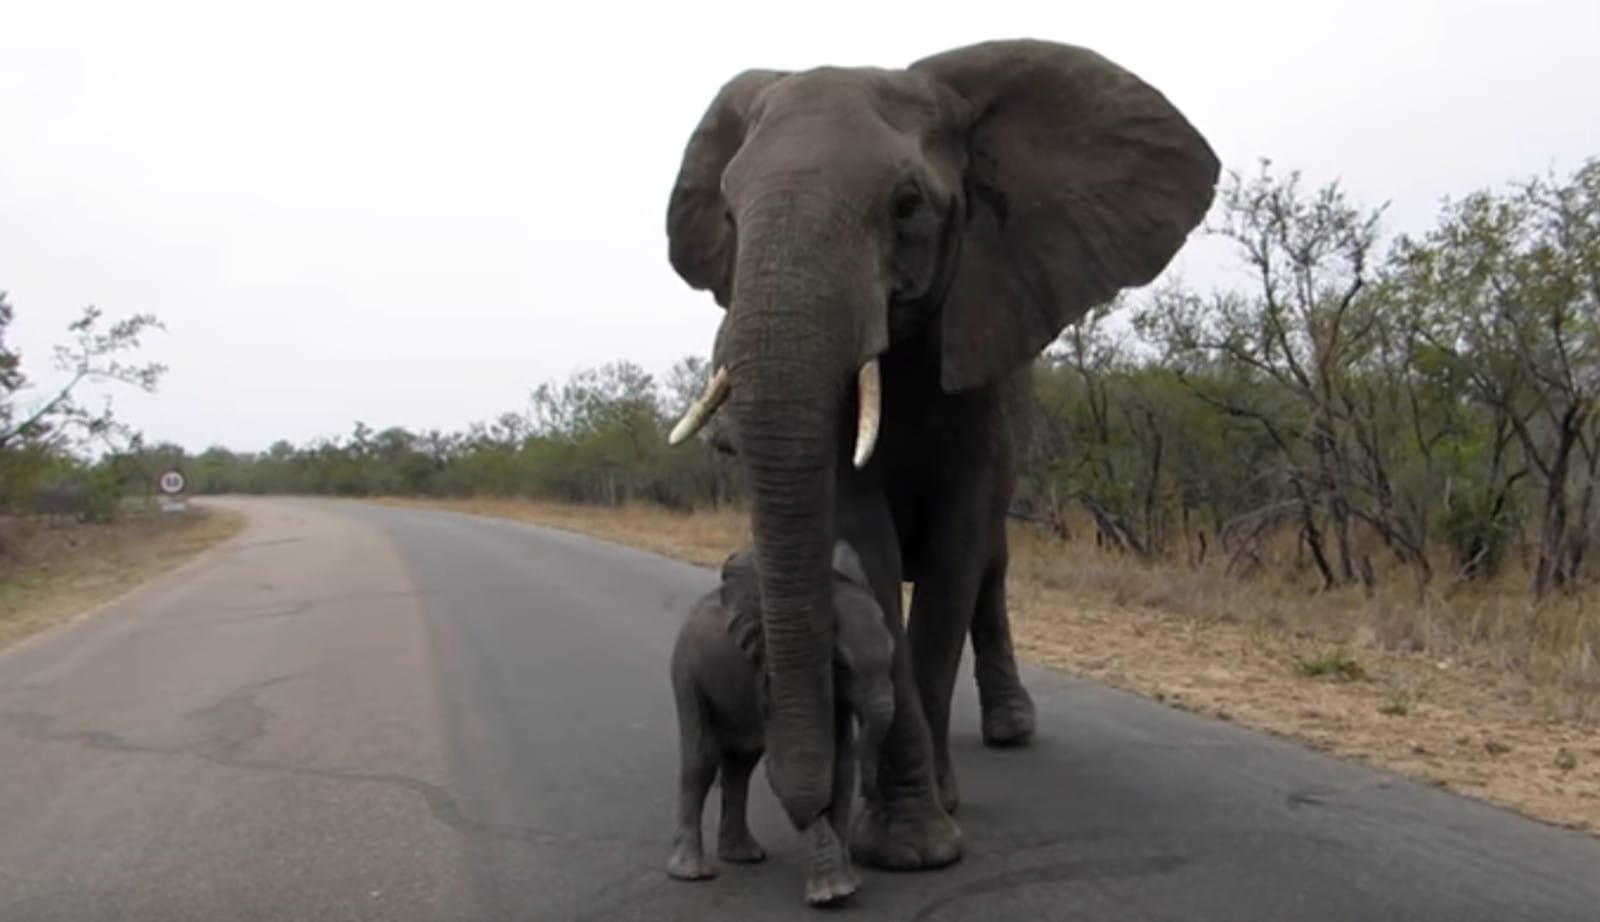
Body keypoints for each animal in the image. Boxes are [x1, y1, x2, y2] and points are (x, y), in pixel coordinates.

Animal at [667, 540, 896, 906]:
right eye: (841, 665)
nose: (873, 795)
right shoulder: (769, 680)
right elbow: (792, 771)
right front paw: (833, 893)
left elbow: (842, 769)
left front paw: (850, 882)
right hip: (687, 669)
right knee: (701, 759)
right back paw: (692, 873)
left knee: (741, 763)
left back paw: (744, 856)